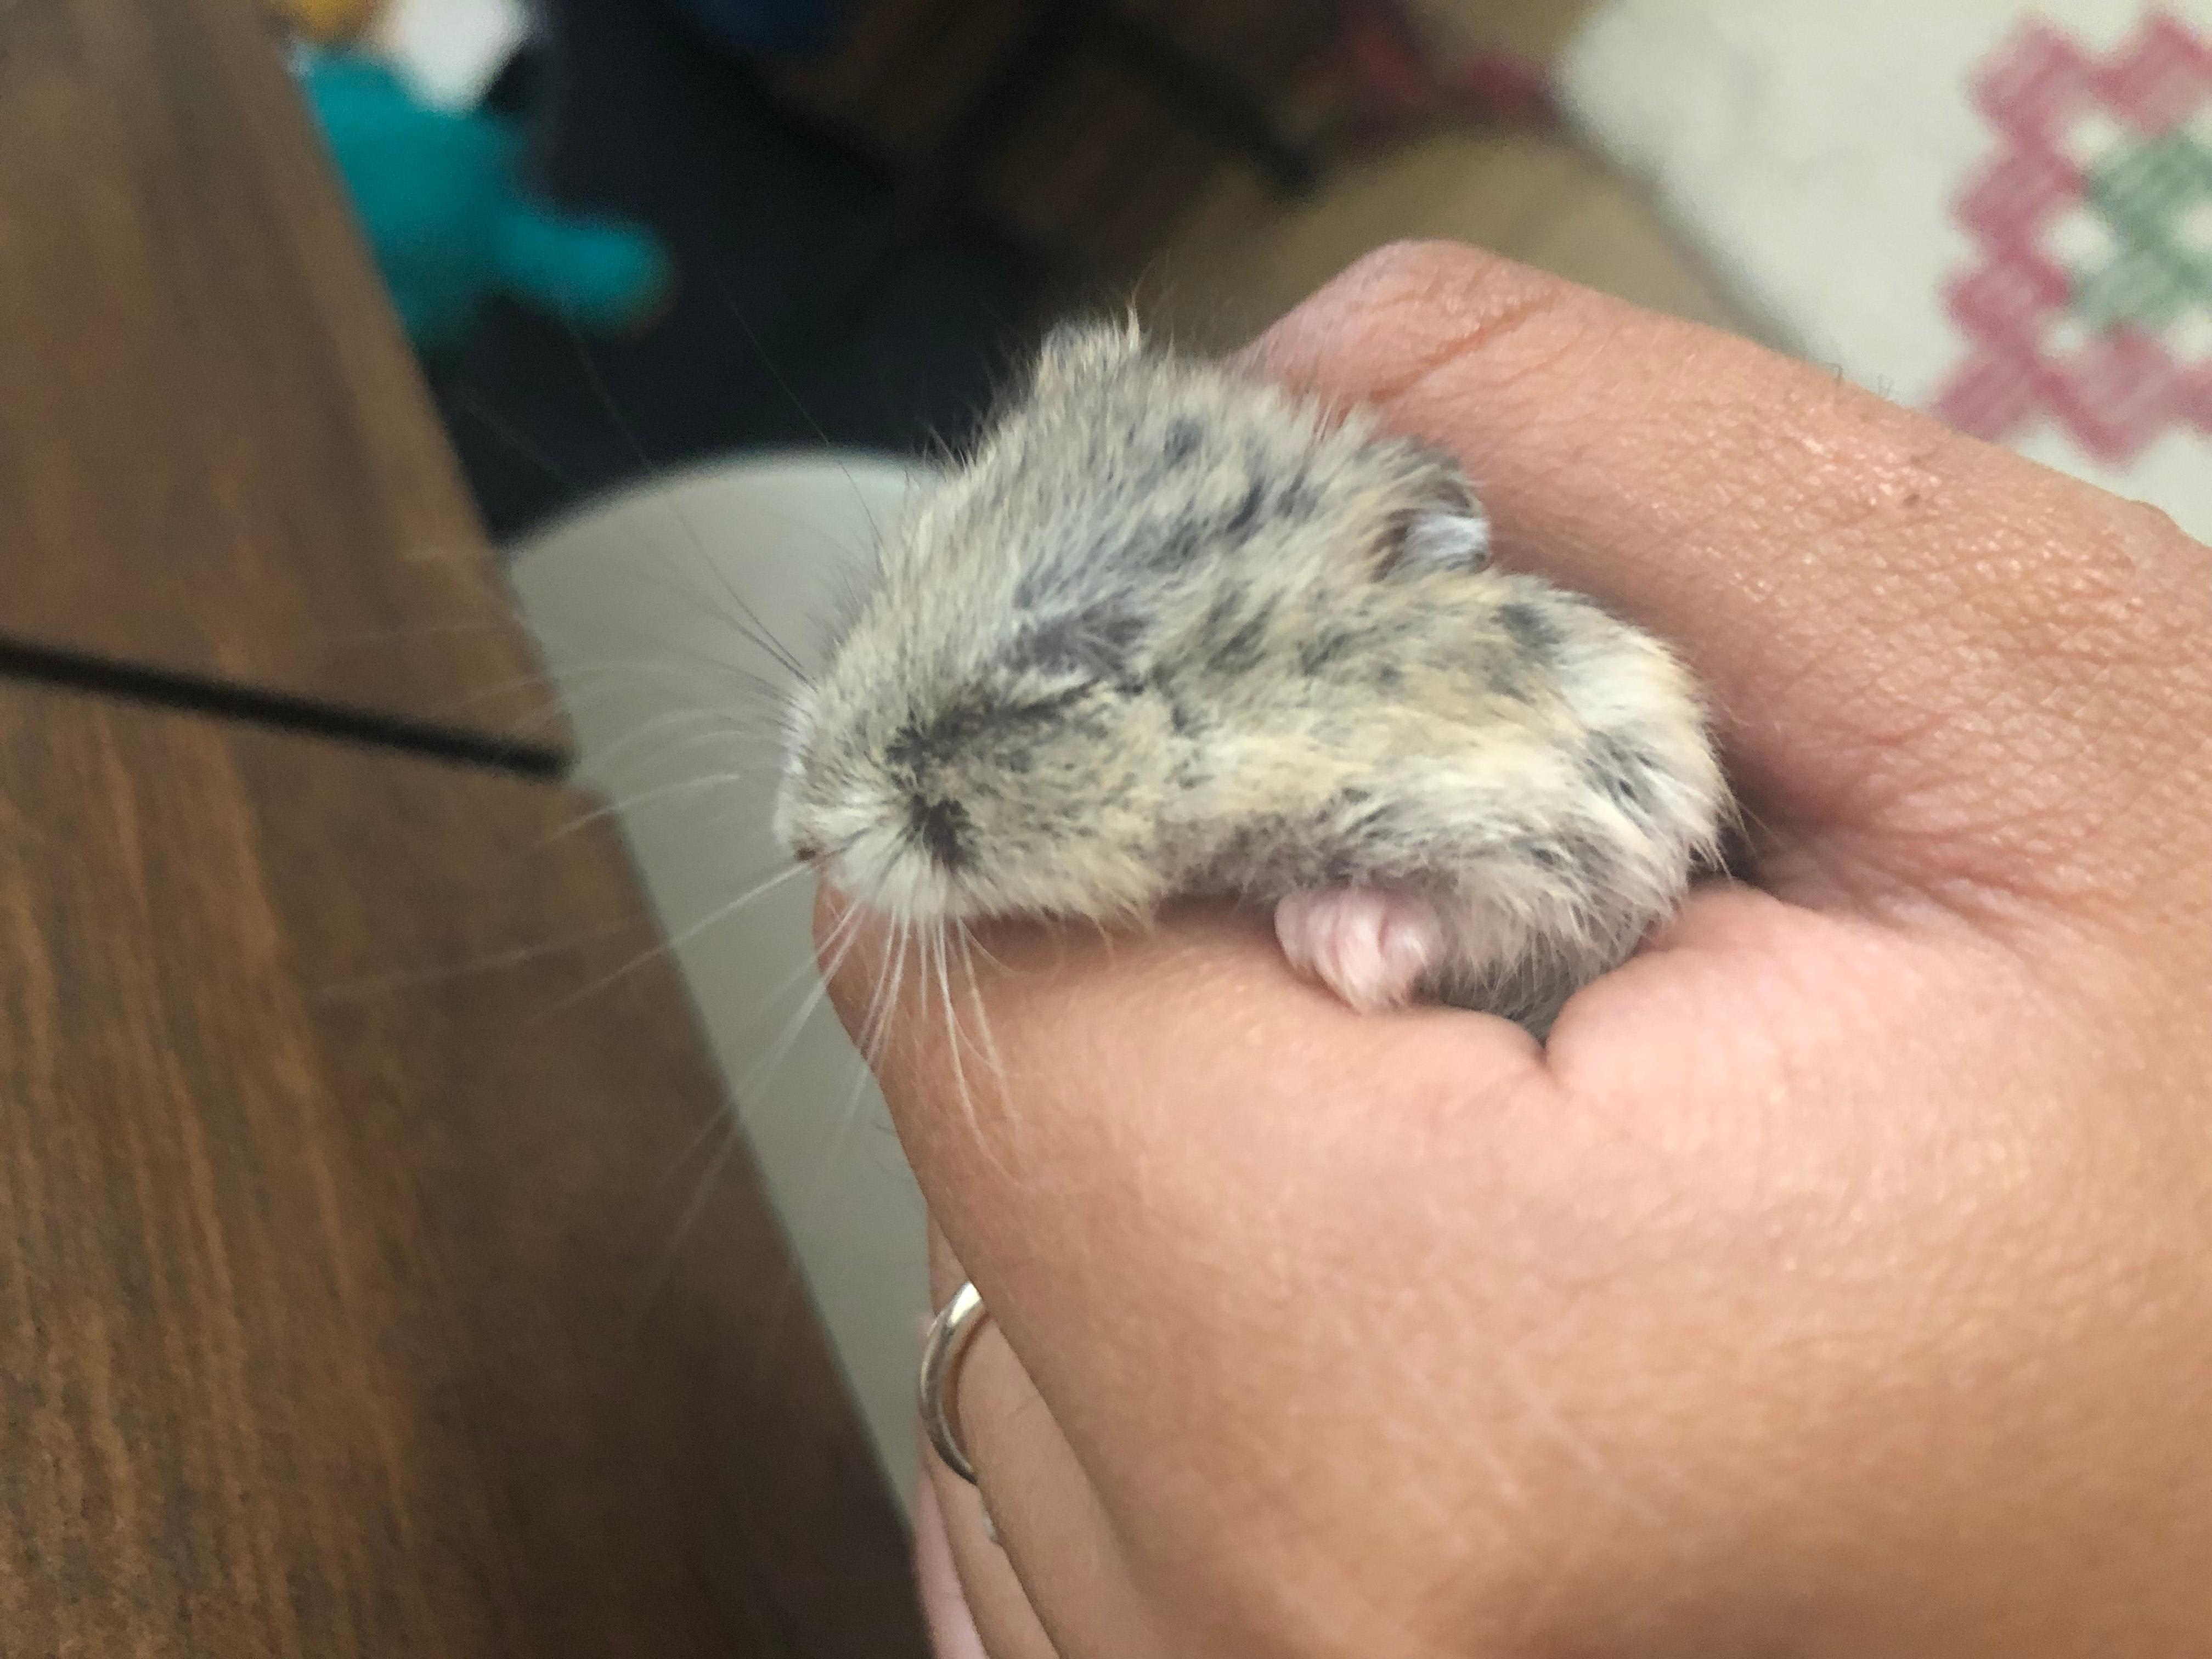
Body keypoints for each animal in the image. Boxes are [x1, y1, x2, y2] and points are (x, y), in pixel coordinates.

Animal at [773, 319, 1727, 1034]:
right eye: (897, 572)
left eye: (1072, 661)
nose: (801, 841)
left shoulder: (1615, 816)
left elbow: (1480, 913)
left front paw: (1328, 939)